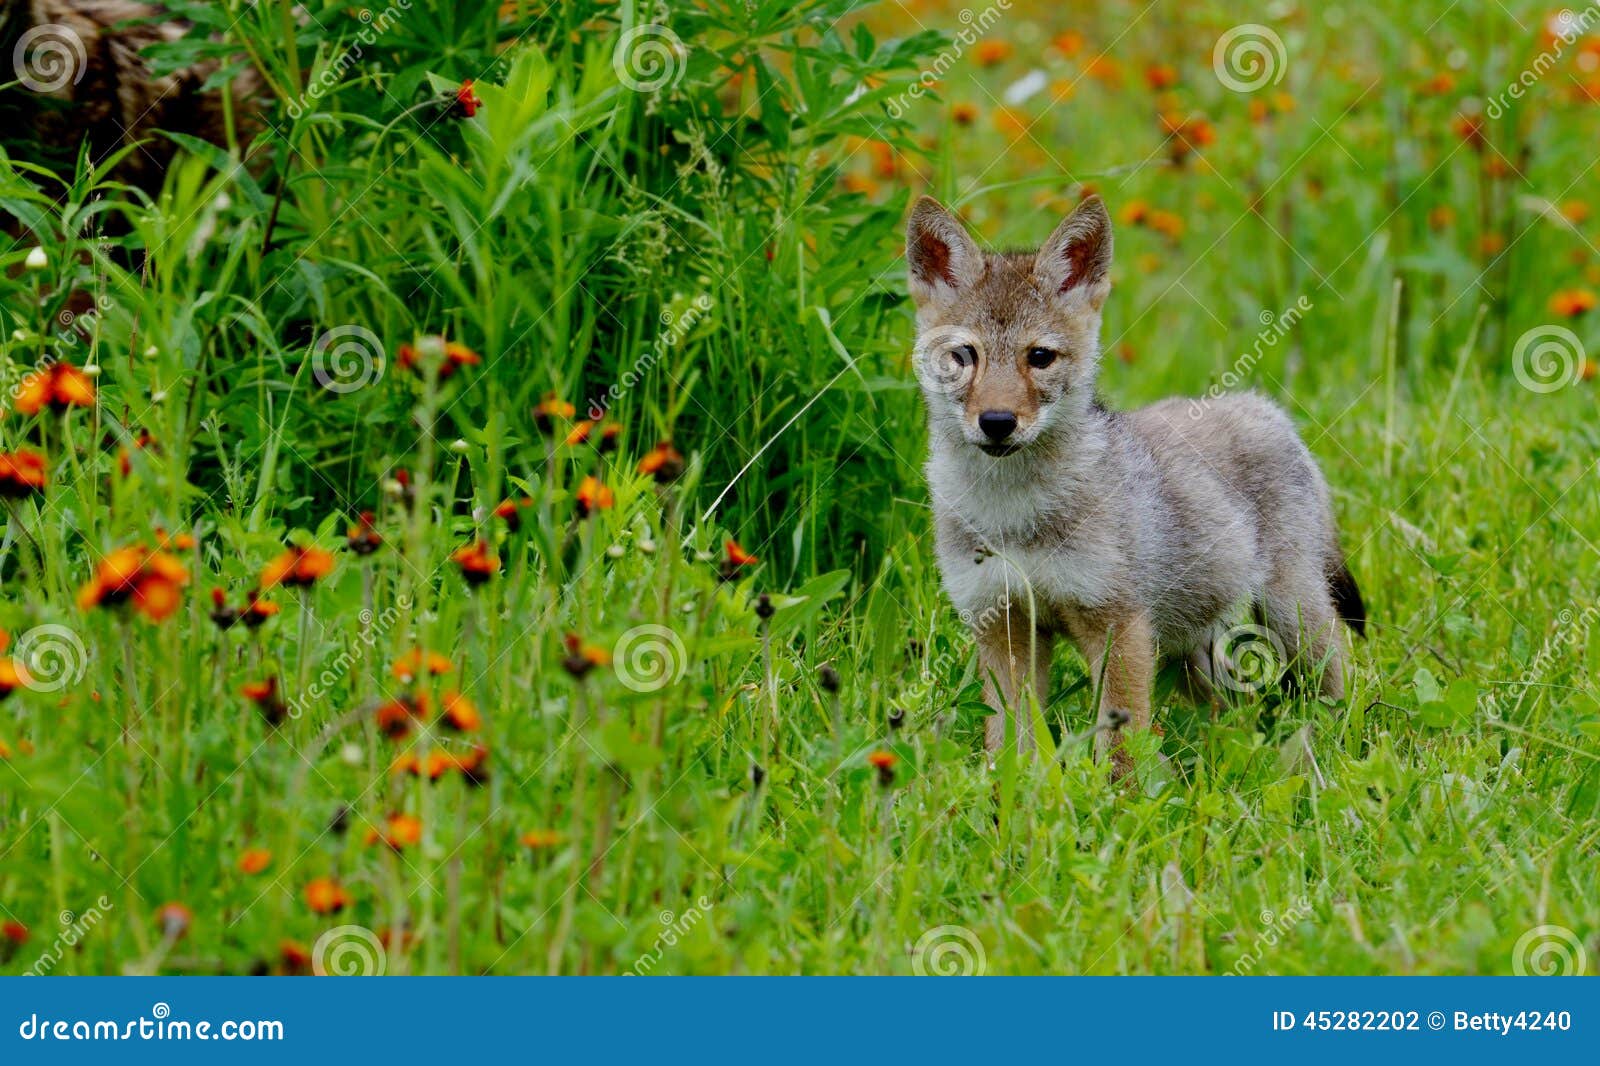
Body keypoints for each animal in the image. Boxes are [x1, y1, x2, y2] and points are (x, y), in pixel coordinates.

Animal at [905, 194, 1364, 772]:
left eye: (1039, 357)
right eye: (964, 356)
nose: (997, 422)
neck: (1013, 513)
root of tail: (1267, 409)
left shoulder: (1116, 625)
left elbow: (1121, 750)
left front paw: (1114, 797)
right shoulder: (1003, 627)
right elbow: (1013, 748)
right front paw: (1011, 794)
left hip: (1290, 616)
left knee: (1340, 675)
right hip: (1191, 649)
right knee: (1230, 713)